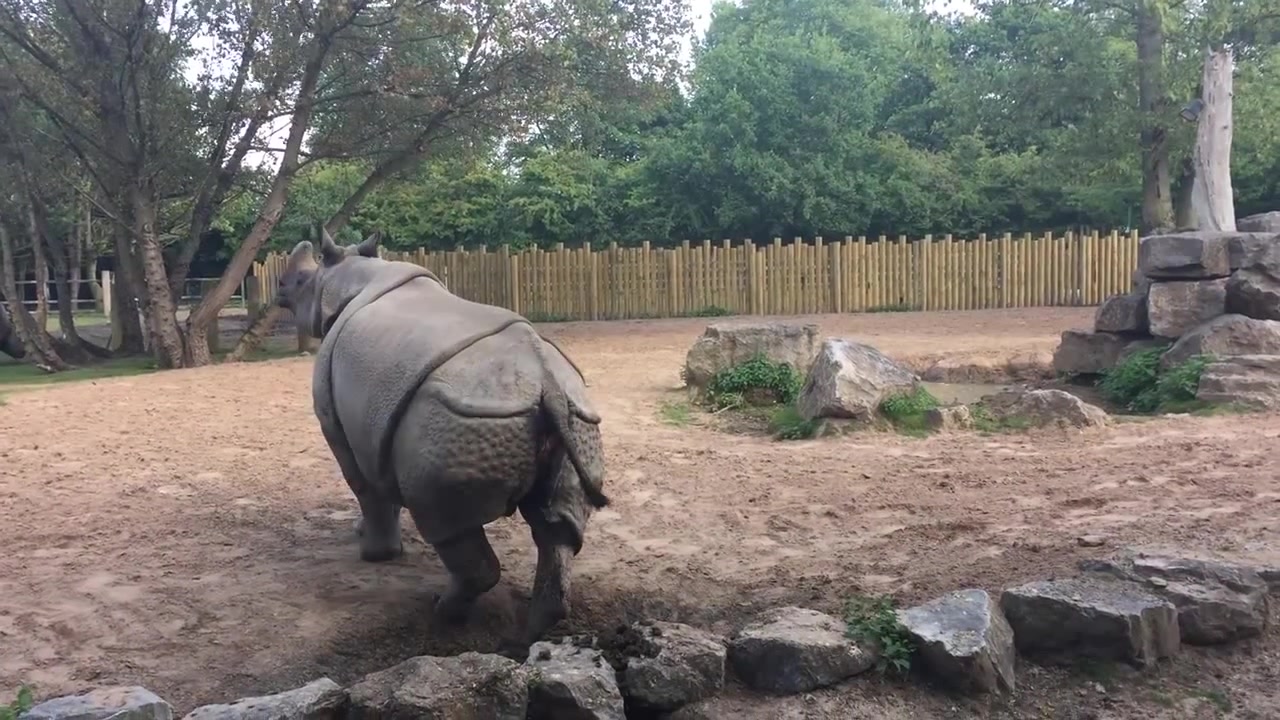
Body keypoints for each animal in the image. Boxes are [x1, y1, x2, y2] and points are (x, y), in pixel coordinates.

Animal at [274, 228, 609, 655]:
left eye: (300, 281)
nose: (279, 290)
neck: (344, 277)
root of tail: (546, 383)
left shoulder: (336, 423)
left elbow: (365, 487)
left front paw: (376, 555)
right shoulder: (376, 430)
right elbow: (380, 487)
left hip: (456, 421)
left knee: (445, 524)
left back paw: (443, 614)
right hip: (576, 415)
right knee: (558, 528)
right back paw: (523, 640)